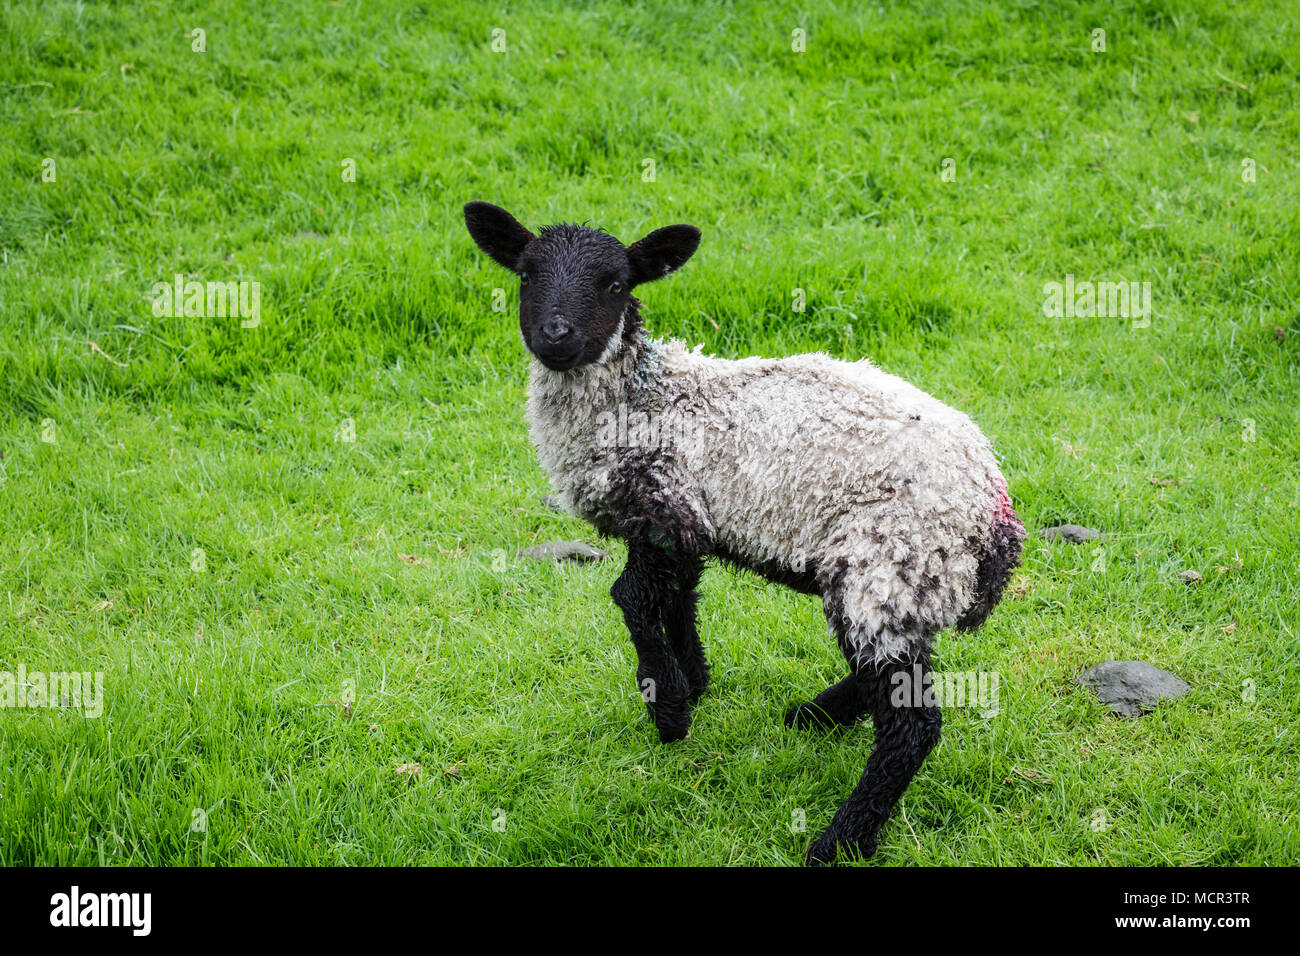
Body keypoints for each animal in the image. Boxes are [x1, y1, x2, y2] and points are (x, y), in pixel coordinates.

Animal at [463, 200, 1025, 865]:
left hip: (886, 566)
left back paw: (842, 839)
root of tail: (995, 507)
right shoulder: (680, 526)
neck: (639, 399)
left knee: (912, 724)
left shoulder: (666, 506)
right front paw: (692, 682)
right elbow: (677, 598)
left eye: (616, 284)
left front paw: (669, 711)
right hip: (917, 583)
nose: (556, 336)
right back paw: (815, 716)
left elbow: (631, 598)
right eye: (526, 275)